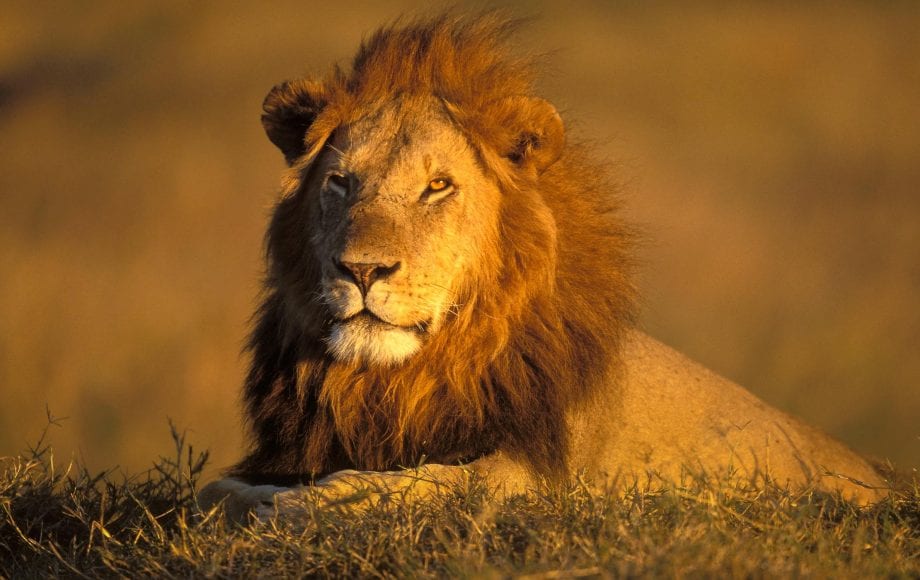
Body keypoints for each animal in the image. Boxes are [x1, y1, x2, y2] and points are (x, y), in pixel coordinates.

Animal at [199, 14, 886, 520]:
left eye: (438, 186)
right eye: (340, 182)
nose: (361, 271)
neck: (397, 381)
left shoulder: (540, 474)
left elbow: (429, 484)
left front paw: (317, 503)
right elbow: (215, 490)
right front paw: (260, 500)